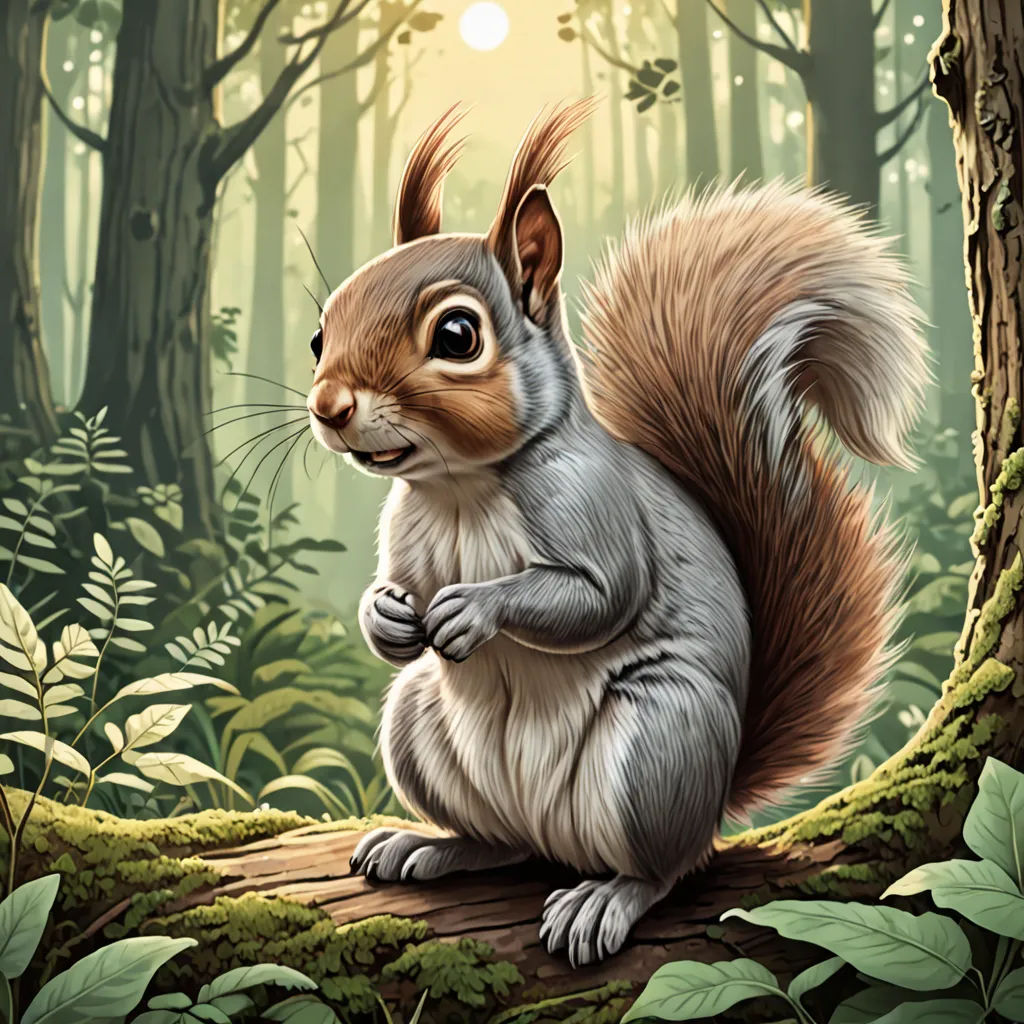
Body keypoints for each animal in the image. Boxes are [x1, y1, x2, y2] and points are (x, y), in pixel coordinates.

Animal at [305, 99, 928, 967]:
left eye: (457, 335)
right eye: (319, 333)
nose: (328, 406)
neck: (463, 487)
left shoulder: (597, 508)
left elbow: (598, 597)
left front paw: (475, 608)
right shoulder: (405, 529)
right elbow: (396, 596)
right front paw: (385, 616)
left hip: (653, 746)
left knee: (662, 869)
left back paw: (604, 899)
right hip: (418, 726)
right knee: (502, 841)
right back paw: (429, 845)